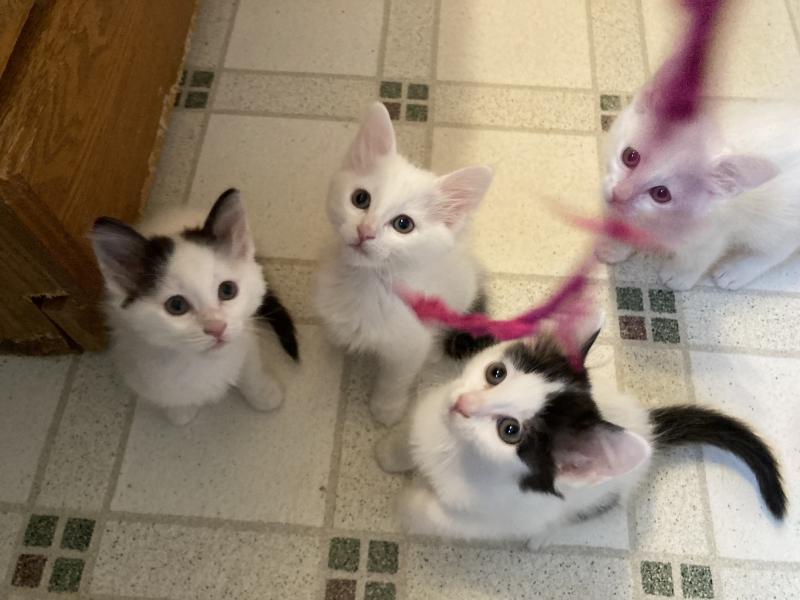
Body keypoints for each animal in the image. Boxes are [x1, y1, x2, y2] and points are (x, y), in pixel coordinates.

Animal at [90, 188, 299, 426]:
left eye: (227, 290)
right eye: (176, 305)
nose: (217, 328)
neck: (204, 360)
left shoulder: (246, 334)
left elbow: (249, 368)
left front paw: (263, 394)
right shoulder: (137, 365)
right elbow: (167, 393)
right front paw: (180, 411)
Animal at [314, 102, 493, 426]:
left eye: (403, 224)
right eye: (360, 198)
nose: (365, 231)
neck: (367, 283)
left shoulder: (408, 346)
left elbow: (395, 379)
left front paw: (386, 409)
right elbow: (336, 332)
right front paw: (337, 340)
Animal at [376, 318, 786, 546]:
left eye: (510, 431)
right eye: (496, 373)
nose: (463, 404)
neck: (453, 449)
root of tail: (648, 426)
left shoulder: (493, 516)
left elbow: (436, 516)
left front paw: (404, 505)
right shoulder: (434, 406)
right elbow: (410, 437)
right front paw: (389, 455)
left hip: (597, 499)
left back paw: (545, 538)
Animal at [598, 87, 800, 291]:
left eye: (662, 193)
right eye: (630, 156)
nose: (619, 193)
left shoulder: (715, 231)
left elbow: (700, 256)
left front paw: (679, 276)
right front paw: (615, 246)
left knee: (779, 249)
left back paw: (735, 272)